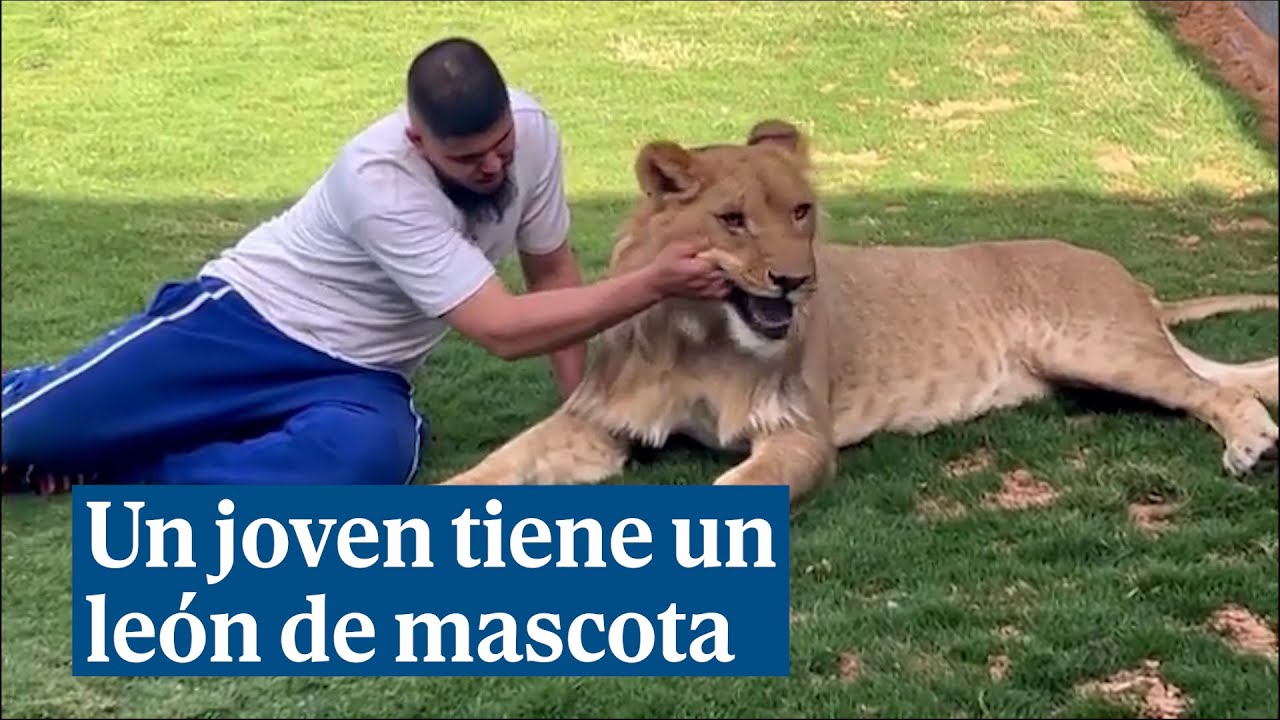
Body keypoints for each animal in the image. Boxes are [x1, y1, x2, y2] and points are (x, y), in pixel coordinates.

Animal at [434, 119, 1280, 503]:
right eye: (732, 221)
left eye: (802, 210)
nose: (794, 281)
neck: (700, 338)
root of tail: (1124, 275)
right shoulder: (598, 424)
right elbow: (499, 464)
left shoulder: (798, 434)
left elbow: (738, 491)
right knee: (1233, 377)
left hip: (1096, 348)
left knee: (1215, 391)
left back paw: (1252, 447)